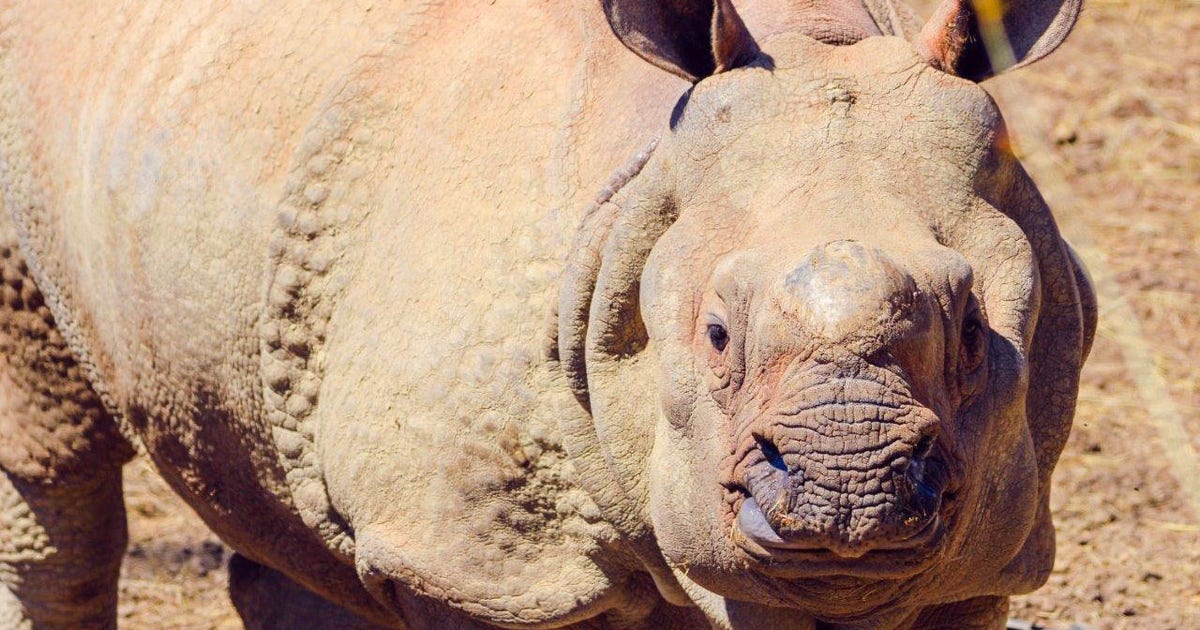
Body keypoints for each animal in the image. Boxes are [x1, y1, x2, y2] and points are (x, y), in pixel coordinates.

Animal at [0, 0, 1096, 628]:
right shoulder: (475, 564)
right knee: (52, 452)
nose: (849, 488)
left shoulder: (976, 567)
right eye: (714, 335)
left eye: (973, 334)